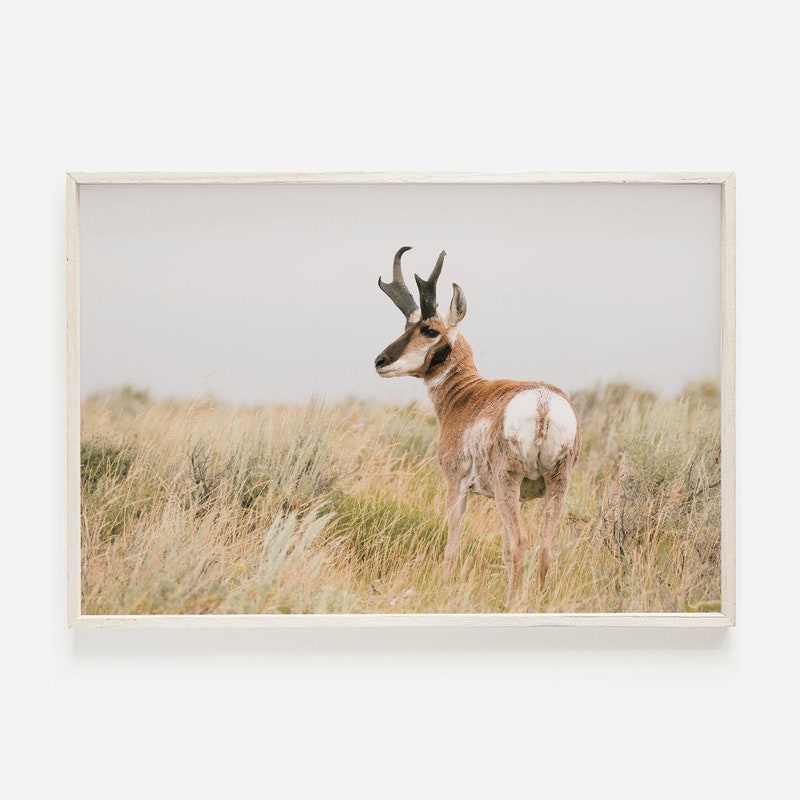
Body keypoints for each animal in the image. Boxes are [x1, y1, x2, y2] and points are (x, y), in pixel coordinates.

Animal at [374, 247, 581, 610]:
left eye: (429, 330)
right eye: (406, 325)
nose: (380, 361)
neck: (466, 395)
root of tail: (542, 403)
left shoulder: (456, 486)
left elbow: (451, 546)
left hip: (507, 485)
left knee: (520, 545)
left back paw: (511, 605)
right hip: (556, 485)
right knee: (544, 549)